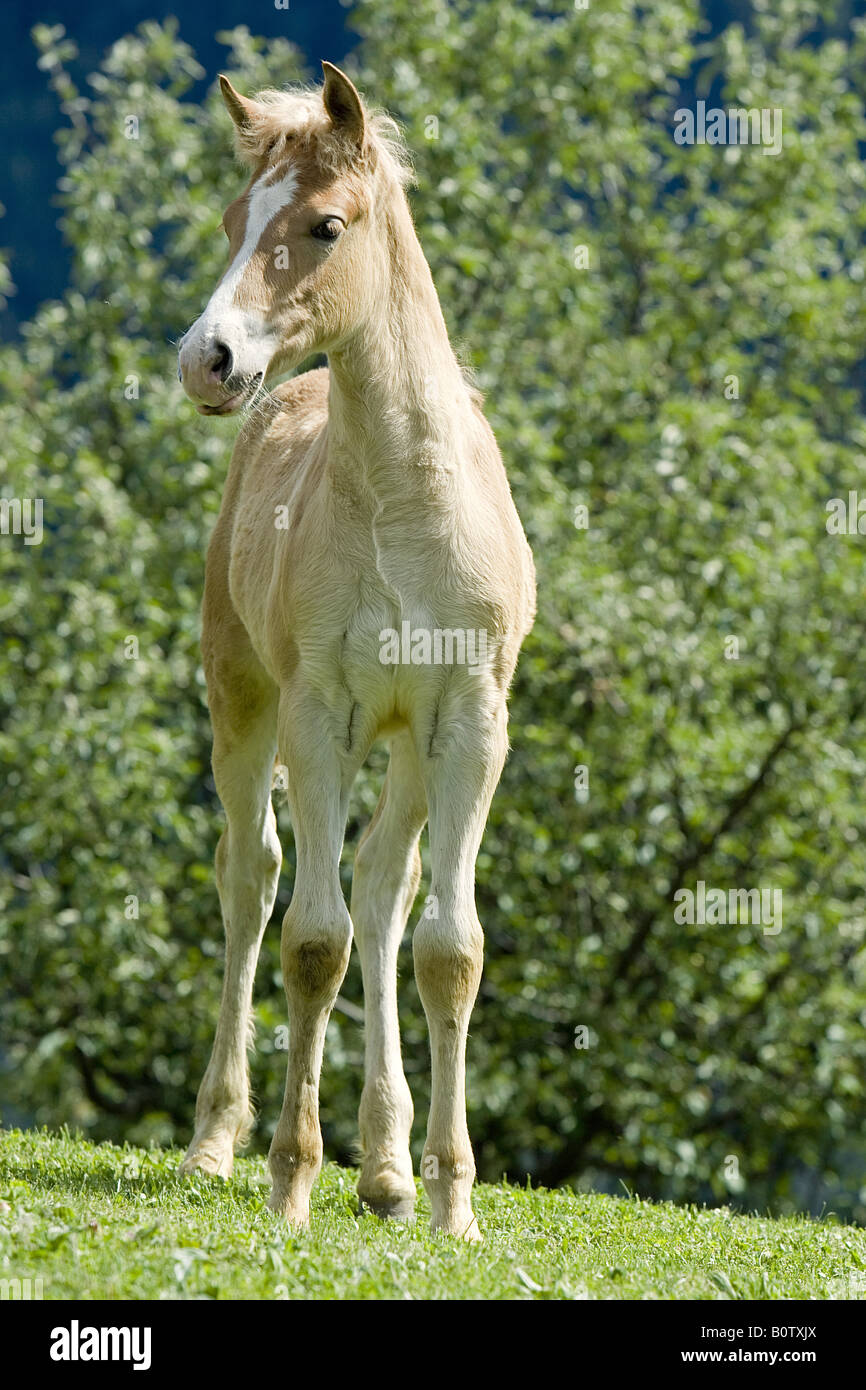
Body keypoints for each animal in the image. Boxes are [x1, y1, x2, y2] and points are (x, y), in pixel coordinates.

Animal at [176, 62, 536, 1239]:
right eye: (232, 220)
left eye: (324, 225)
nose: (208, 359)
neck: (402, 497)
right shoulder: (317, 713)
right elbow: (312, 940)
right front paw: (290, 1179)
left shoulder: (468, 721)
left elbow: (447, 945)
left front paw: (451, 1204)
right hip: (243, 704)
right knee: (253, 880)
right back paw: (217, 1141)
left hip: (412, 748)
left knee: (385, 889)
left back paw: (384, 1169)